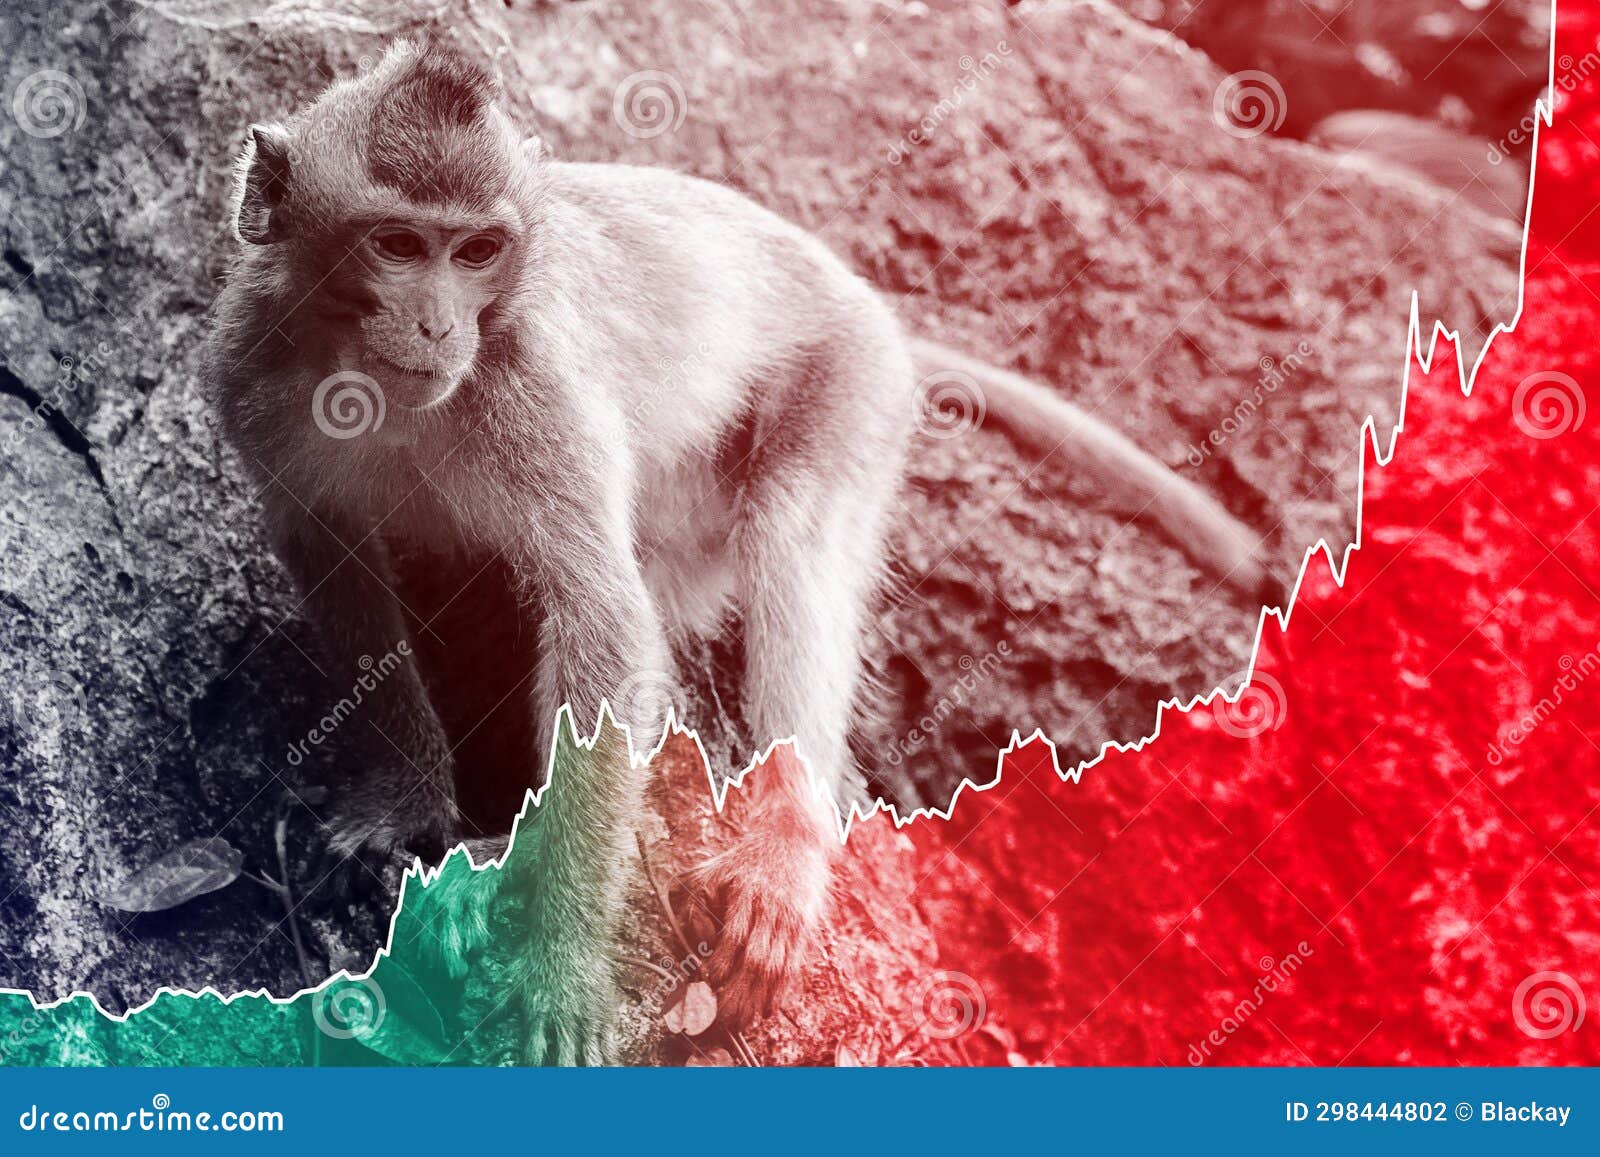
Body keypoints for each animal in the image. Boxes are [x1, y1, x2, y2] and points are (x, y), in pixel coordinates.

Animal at [202, 39, 1273, 1063]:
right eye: (396, 244)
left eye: (474, 252)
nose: (435, 323)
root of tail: (861, 295)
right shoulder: (252, 374)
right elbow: (330, 553)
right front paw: (405, 801)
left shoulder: (533, 389)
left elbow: (603, 621)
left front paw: (561, 954)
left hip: (849, 384)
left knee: (792, 546)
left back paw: (771, 858)